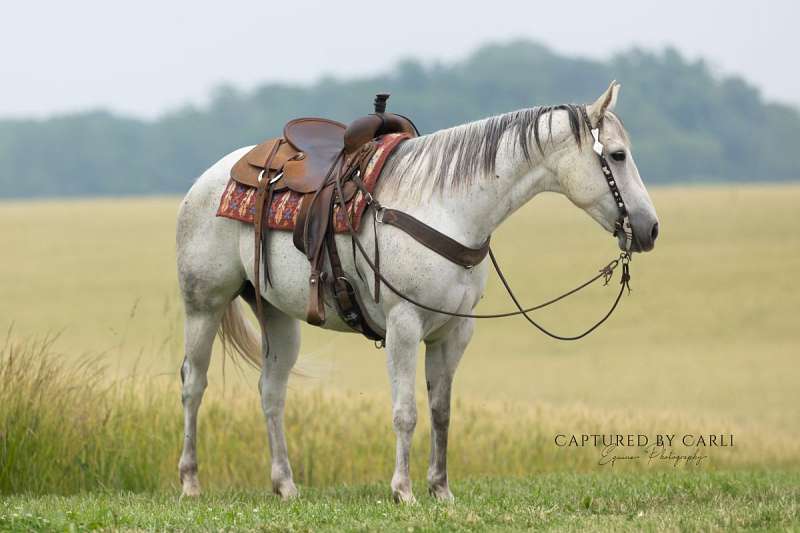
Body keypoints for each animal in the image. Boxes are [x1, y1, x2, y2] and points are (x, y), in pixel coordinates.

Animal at [175, 81, 659, 502]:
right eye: (617, 155)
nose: (650, 228)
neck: (445, 208)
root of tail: (209, 178)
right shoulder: (404, 325)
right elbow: (405, 411)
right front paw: (402, 491)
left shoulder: (455, 330)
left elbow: (441, 410)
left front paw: (440, 489)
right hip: (203, 305)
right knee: (193, 383)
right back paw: (191, 483)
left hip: (277, 314)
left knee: (271, 391)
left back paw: (285, 486)